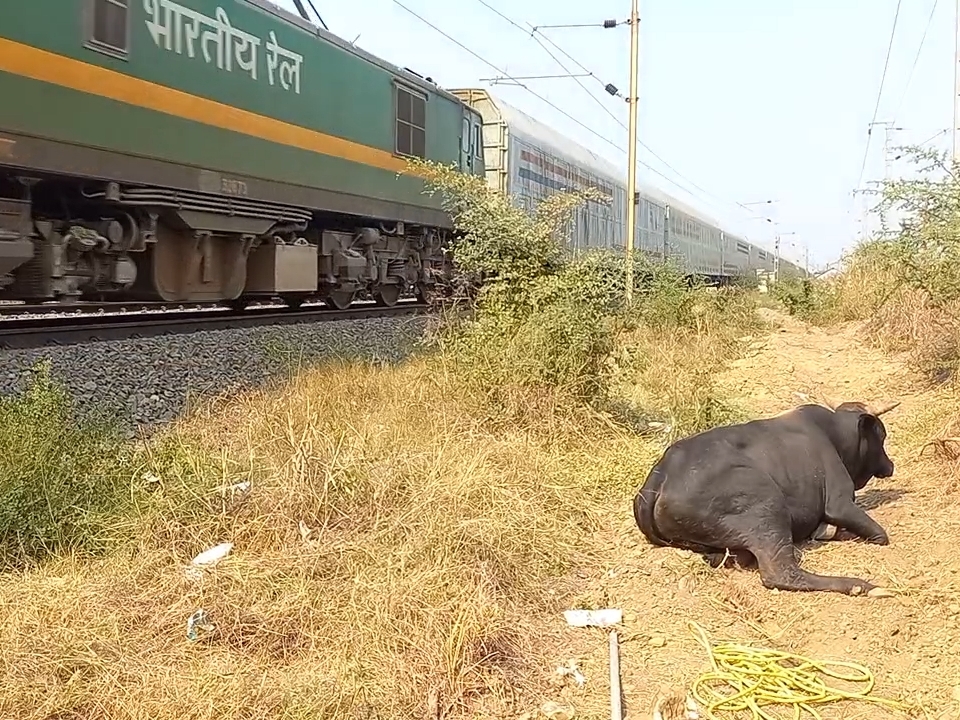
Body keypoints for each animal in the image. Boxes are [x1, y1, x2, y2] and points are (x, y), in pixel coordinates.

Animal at [632, 399, 900, 596]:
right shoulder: (840, 502)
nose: (890, 465)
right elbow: (879, 535)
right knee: (780, 573)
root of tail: (658, 478)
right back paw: (860, 586)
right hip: (766, 506)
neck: (834, 433)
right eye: (882, 435)